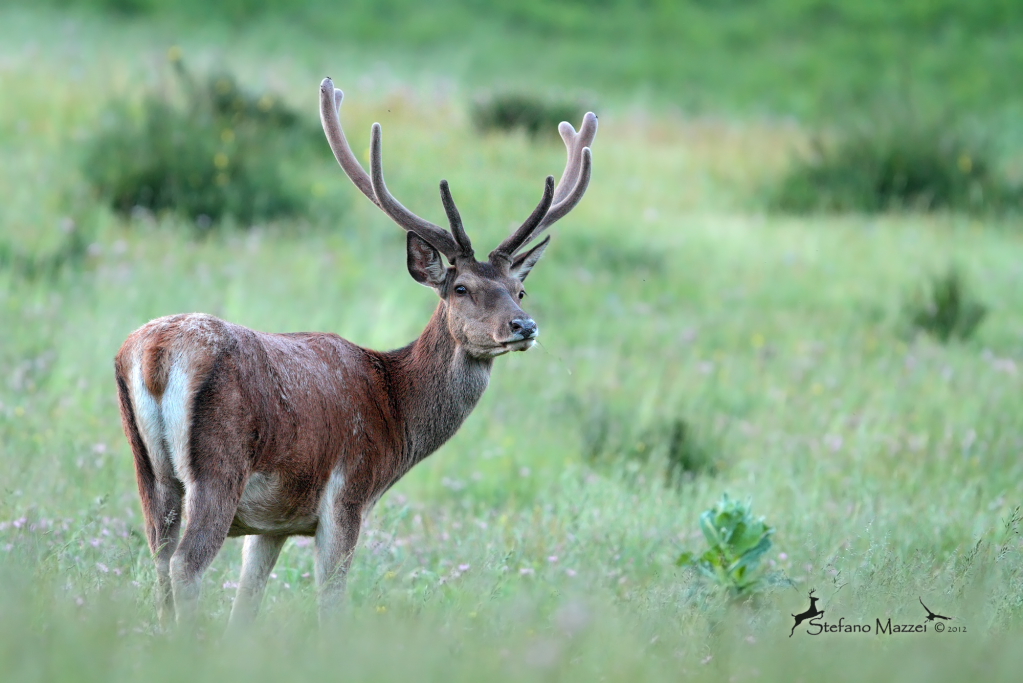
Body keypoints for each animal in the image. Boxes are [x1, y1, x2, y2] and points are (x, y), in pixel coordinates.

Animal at [113, 77, 596, 627]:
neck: (396, 413)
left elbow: (246, 607)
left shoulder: (274, 523)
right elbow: (331, 604)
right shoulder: (347, 496)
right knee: (185, 565)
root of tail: (154, 353)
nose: (524, 326)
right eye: (462, 288)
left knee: (158, 556)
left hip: (151, 473)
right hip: (219, 469)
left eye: (520, 290)